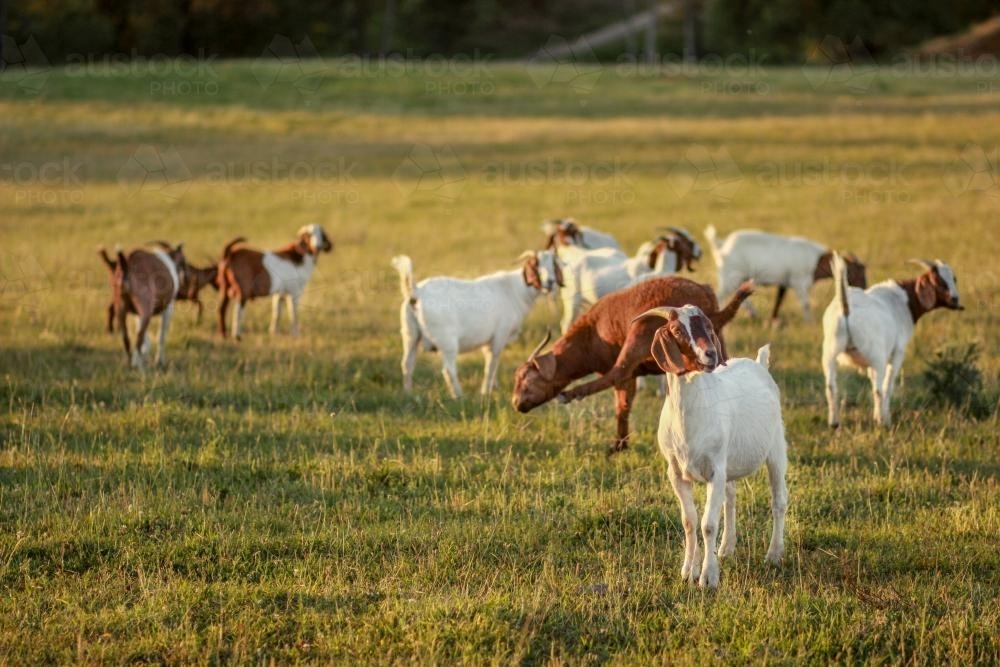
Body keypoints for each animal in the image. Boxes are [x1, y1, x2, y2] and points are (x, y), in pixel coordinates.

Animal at [391, 251, 563, 398]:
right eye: (536, 264)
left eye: (553, 264)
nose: (550, 282)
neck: (515, 290)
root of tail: (415, 292)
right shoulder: (500, 335)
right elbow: (492, 364)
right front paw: (485, 392)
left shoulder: (488, 341)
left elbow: (490, 361)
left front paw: (494, 388)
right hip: (447, 340)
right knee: (448, 370)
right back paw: (459, 396)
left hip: (410, 334)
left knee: (407, 364)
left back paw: (409, 394)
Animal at [511, 276, 753, 453]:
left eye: (525, 378)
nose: (516, 403)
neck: (591, 333)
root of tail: (711, 304)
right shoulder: (633, 376)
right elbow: (624, 405)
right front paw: (621, 444)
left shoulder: (627, 366)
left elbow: (619, 393)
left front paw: (616, 445)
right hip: (718, 345)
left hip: (640, 334)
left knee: (616, 372)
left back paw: (570, 395)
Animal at [637, 304, 787, 589]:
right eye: (677, 330)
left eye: (708, 326)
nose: (711, 354)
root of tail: (758, 363)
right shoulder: (676, 473)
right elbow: (689, 521)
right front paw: (689, 570)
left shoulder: (714, 471)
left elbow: (707, 524)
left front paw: (708, 577)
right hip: (729, 463)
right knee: (731, 497)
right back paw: (727, 547)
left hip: (776, 449)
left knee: (779, 501)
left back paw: (774, 554)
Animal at [705, 225, 867, 323]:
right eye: (857, 270)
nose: (864, 288)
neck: (817, 261)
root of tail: (721, 247)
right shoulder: (799, 282)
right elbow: (805, 304)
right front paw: (810, 323)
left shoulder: (784, 282)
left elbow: (779, 300)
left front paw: (773, 320)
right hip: (730, 276)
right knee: (720, 295)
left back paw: (753, 313)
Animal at [822, 254, 963, 428]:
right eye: (939, 281)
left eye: (954, 278)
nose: (955, 299)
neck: (902, 301)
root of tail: (846, 308)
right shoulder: (897, 353)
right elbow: (887, 386)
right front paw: (884, 418)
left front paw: (878, 415)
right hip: (876, 357)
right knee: (879, 389)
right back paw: (882, 423)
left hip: (830, 352)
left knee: (831, 387)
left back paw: (834, 423)